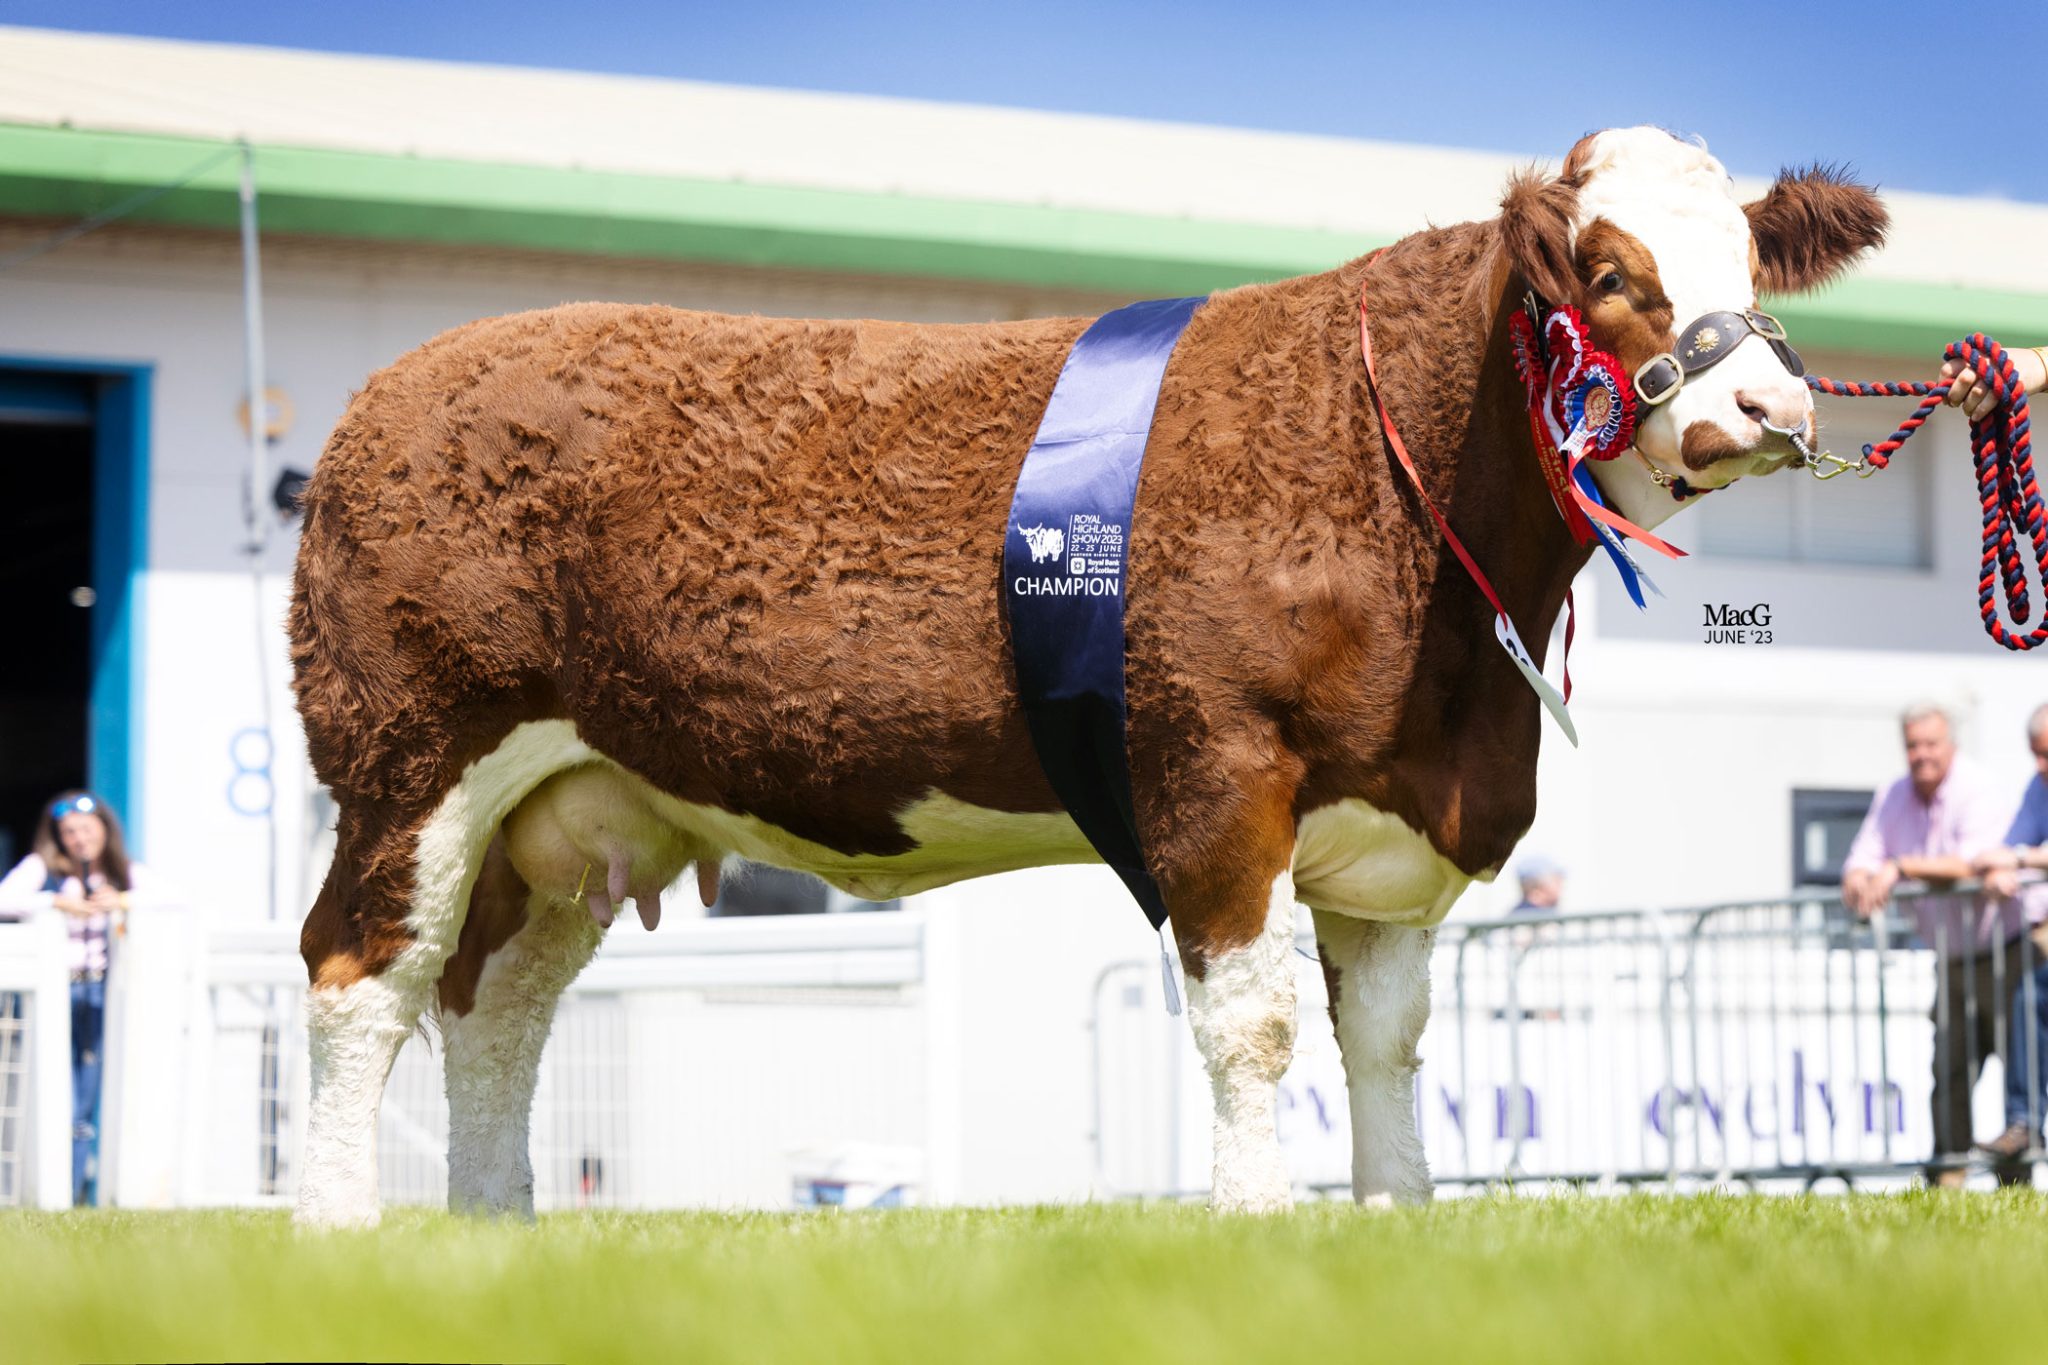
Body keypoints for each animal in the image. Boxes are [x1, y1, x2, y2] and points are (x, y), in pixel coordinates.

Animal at [289, 126, 1887, 1224]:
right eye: (1610, 277)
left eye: (1754, 270)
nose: (1772, 408)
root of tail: (398, 385)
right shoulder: (1217, 771)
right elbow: (1254, 1026)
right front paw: (1259, 1227)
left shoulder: (1399, 828)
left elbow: (1387, 1046)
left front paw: (1392, 1227)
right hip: (407, 758)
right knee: (361, 976)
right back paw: (342, 1232)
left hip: (562, 810)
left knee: (493, 1005)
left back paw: (492, 1233)